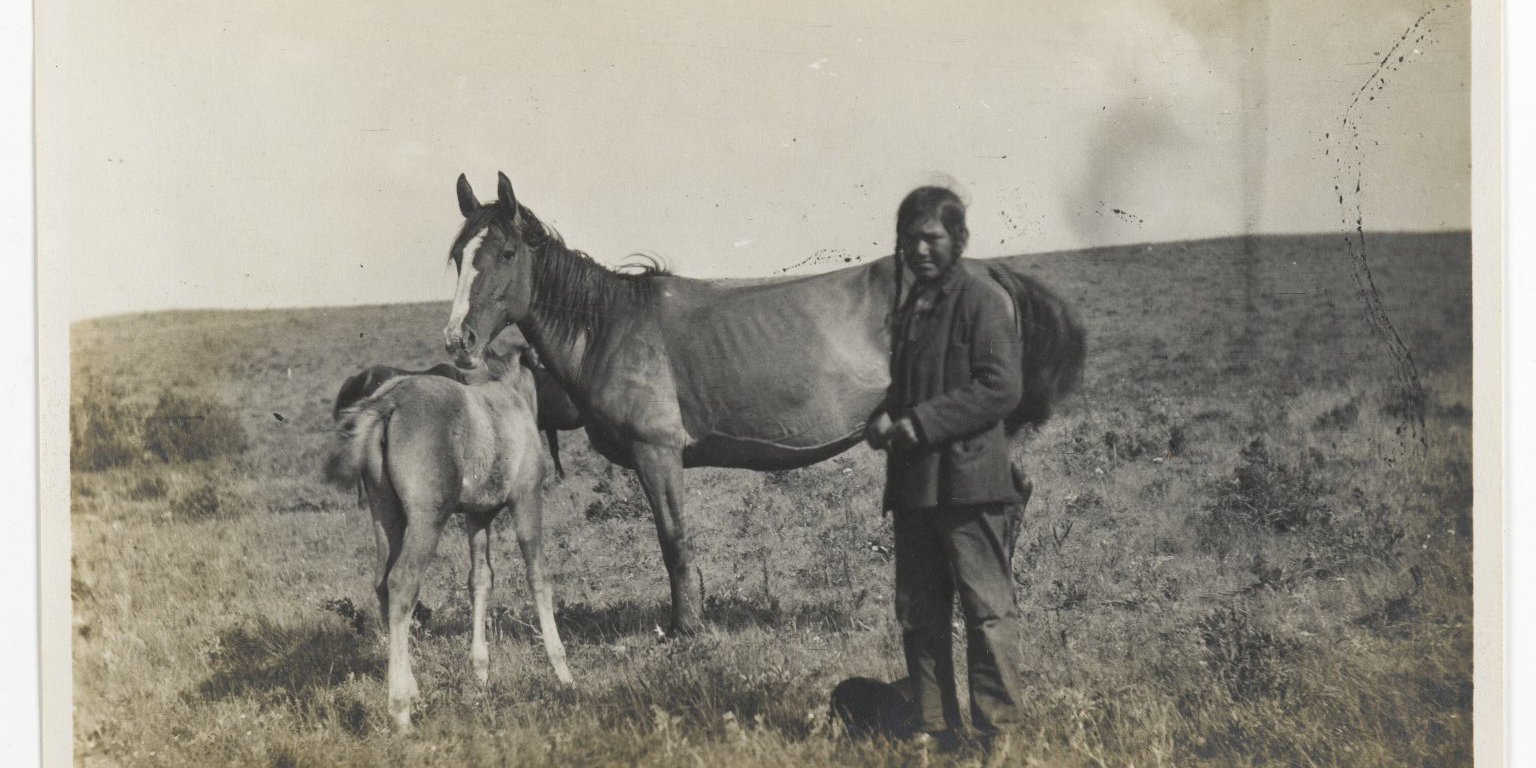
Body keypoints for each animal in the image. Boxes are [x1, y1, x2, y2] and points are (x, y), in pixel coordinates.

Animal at [326, 333, 573, 730]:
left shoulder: (477, 516)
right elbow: (538, 576)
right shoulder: (527, 499)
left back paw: (410, 688)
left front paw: (480, 673)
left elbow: (480, 580)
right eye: (550, 367)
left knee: (382, 584)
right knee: (402, 583)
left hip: (386, 515)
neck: (510, 398)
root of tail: (389, 403)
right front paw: (562, 671)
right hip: (427, 518)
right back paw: (401, 709)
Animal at [442, 172, 1085, 635]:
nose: (458, 341)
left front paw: (689, 629)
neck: (611, 326)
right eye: (456, 256)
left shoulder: (658, 453)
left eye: (505, 253)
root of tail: (988, 277)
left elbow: (673, 539)